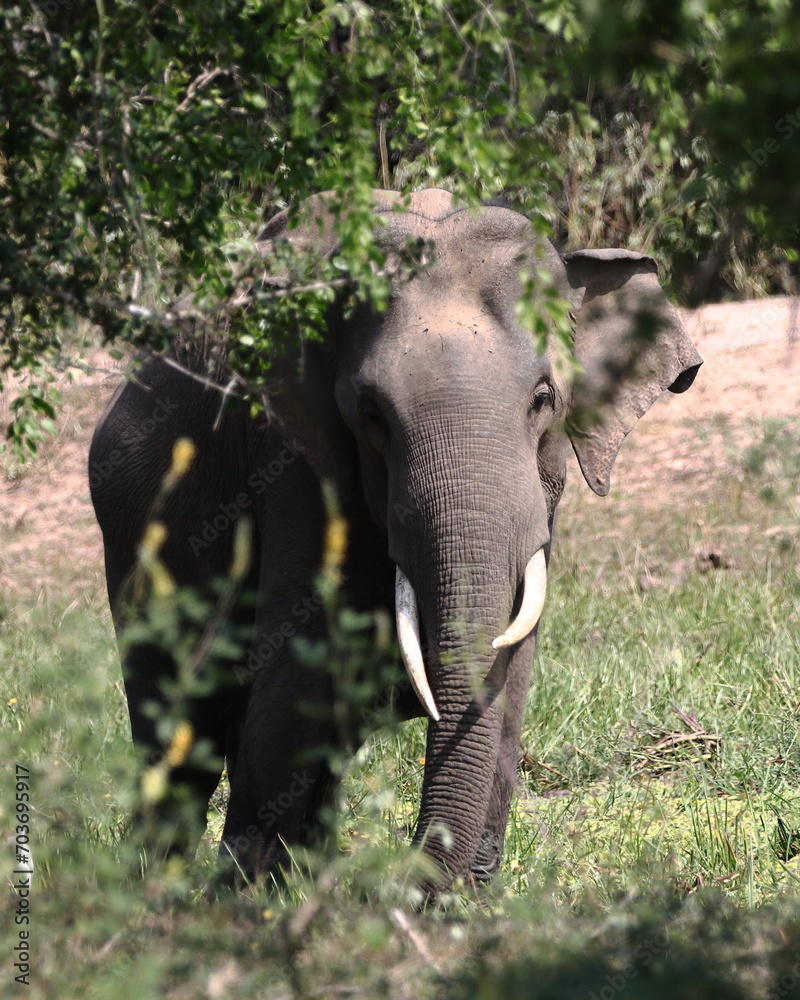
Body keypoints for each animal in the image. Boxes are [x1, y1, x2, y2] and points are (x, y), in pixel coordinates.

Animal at [90, 188, 702, 895]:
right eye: (372, 414)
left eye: (544, 397)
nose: (411, 890)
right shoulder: (294, 462)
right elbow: (299, 663)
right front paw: (244, 901)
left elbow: (513, 666)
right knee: (180, 731)